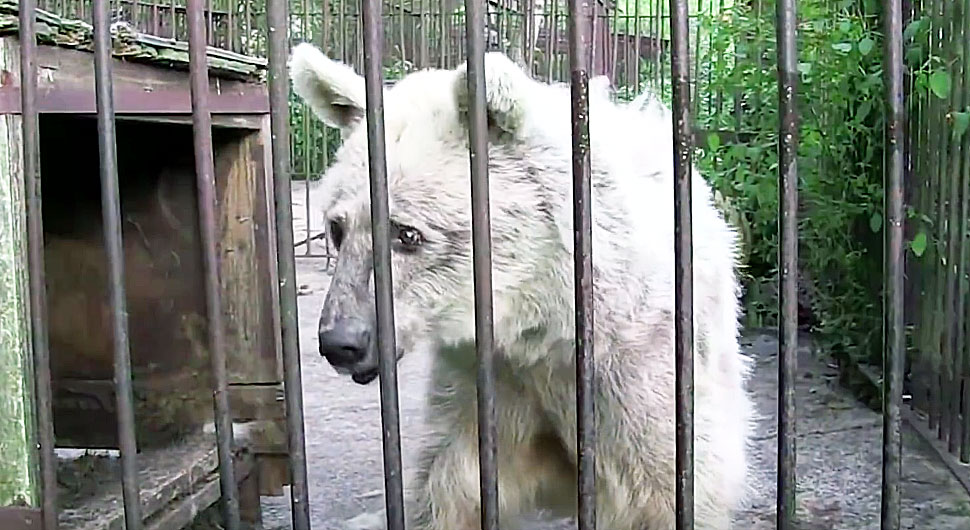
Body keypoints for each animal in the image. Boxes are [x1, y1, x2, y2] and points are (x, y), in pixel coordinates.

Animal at [288, 41, 755, 530]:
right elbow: (448, 482)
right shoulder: (489, 375)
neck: (542, 318)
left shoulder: (639, 367)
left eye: (408, 233)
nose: (340, 342)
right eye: (337, 227)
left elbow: (667, 485)